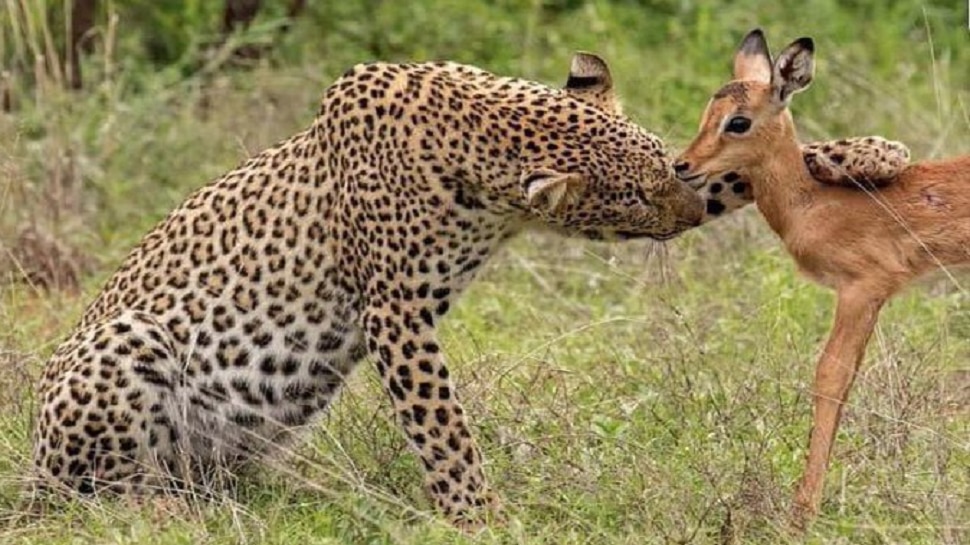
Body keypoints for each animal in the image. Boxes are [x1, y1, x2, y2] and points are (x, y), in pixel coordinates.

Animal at [30, 51, 902, 528]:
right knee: (101, 492)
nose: (683, 203)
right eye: (628, 198)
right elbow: (444, 427)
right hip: (125, 346)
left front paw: (871, 152)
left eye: (665, 162)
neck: (468, 138)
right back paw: (162, 510)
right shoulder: (395, 312)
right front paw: (483, 519)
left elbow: (752, 171)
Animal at [673, 28, 970, 528]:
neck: (812, 204)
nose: (682, 165)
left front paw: (802, 510)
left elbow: (831, 377)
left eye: (738, 121)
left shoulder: (862, 289)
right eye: (707, 112)